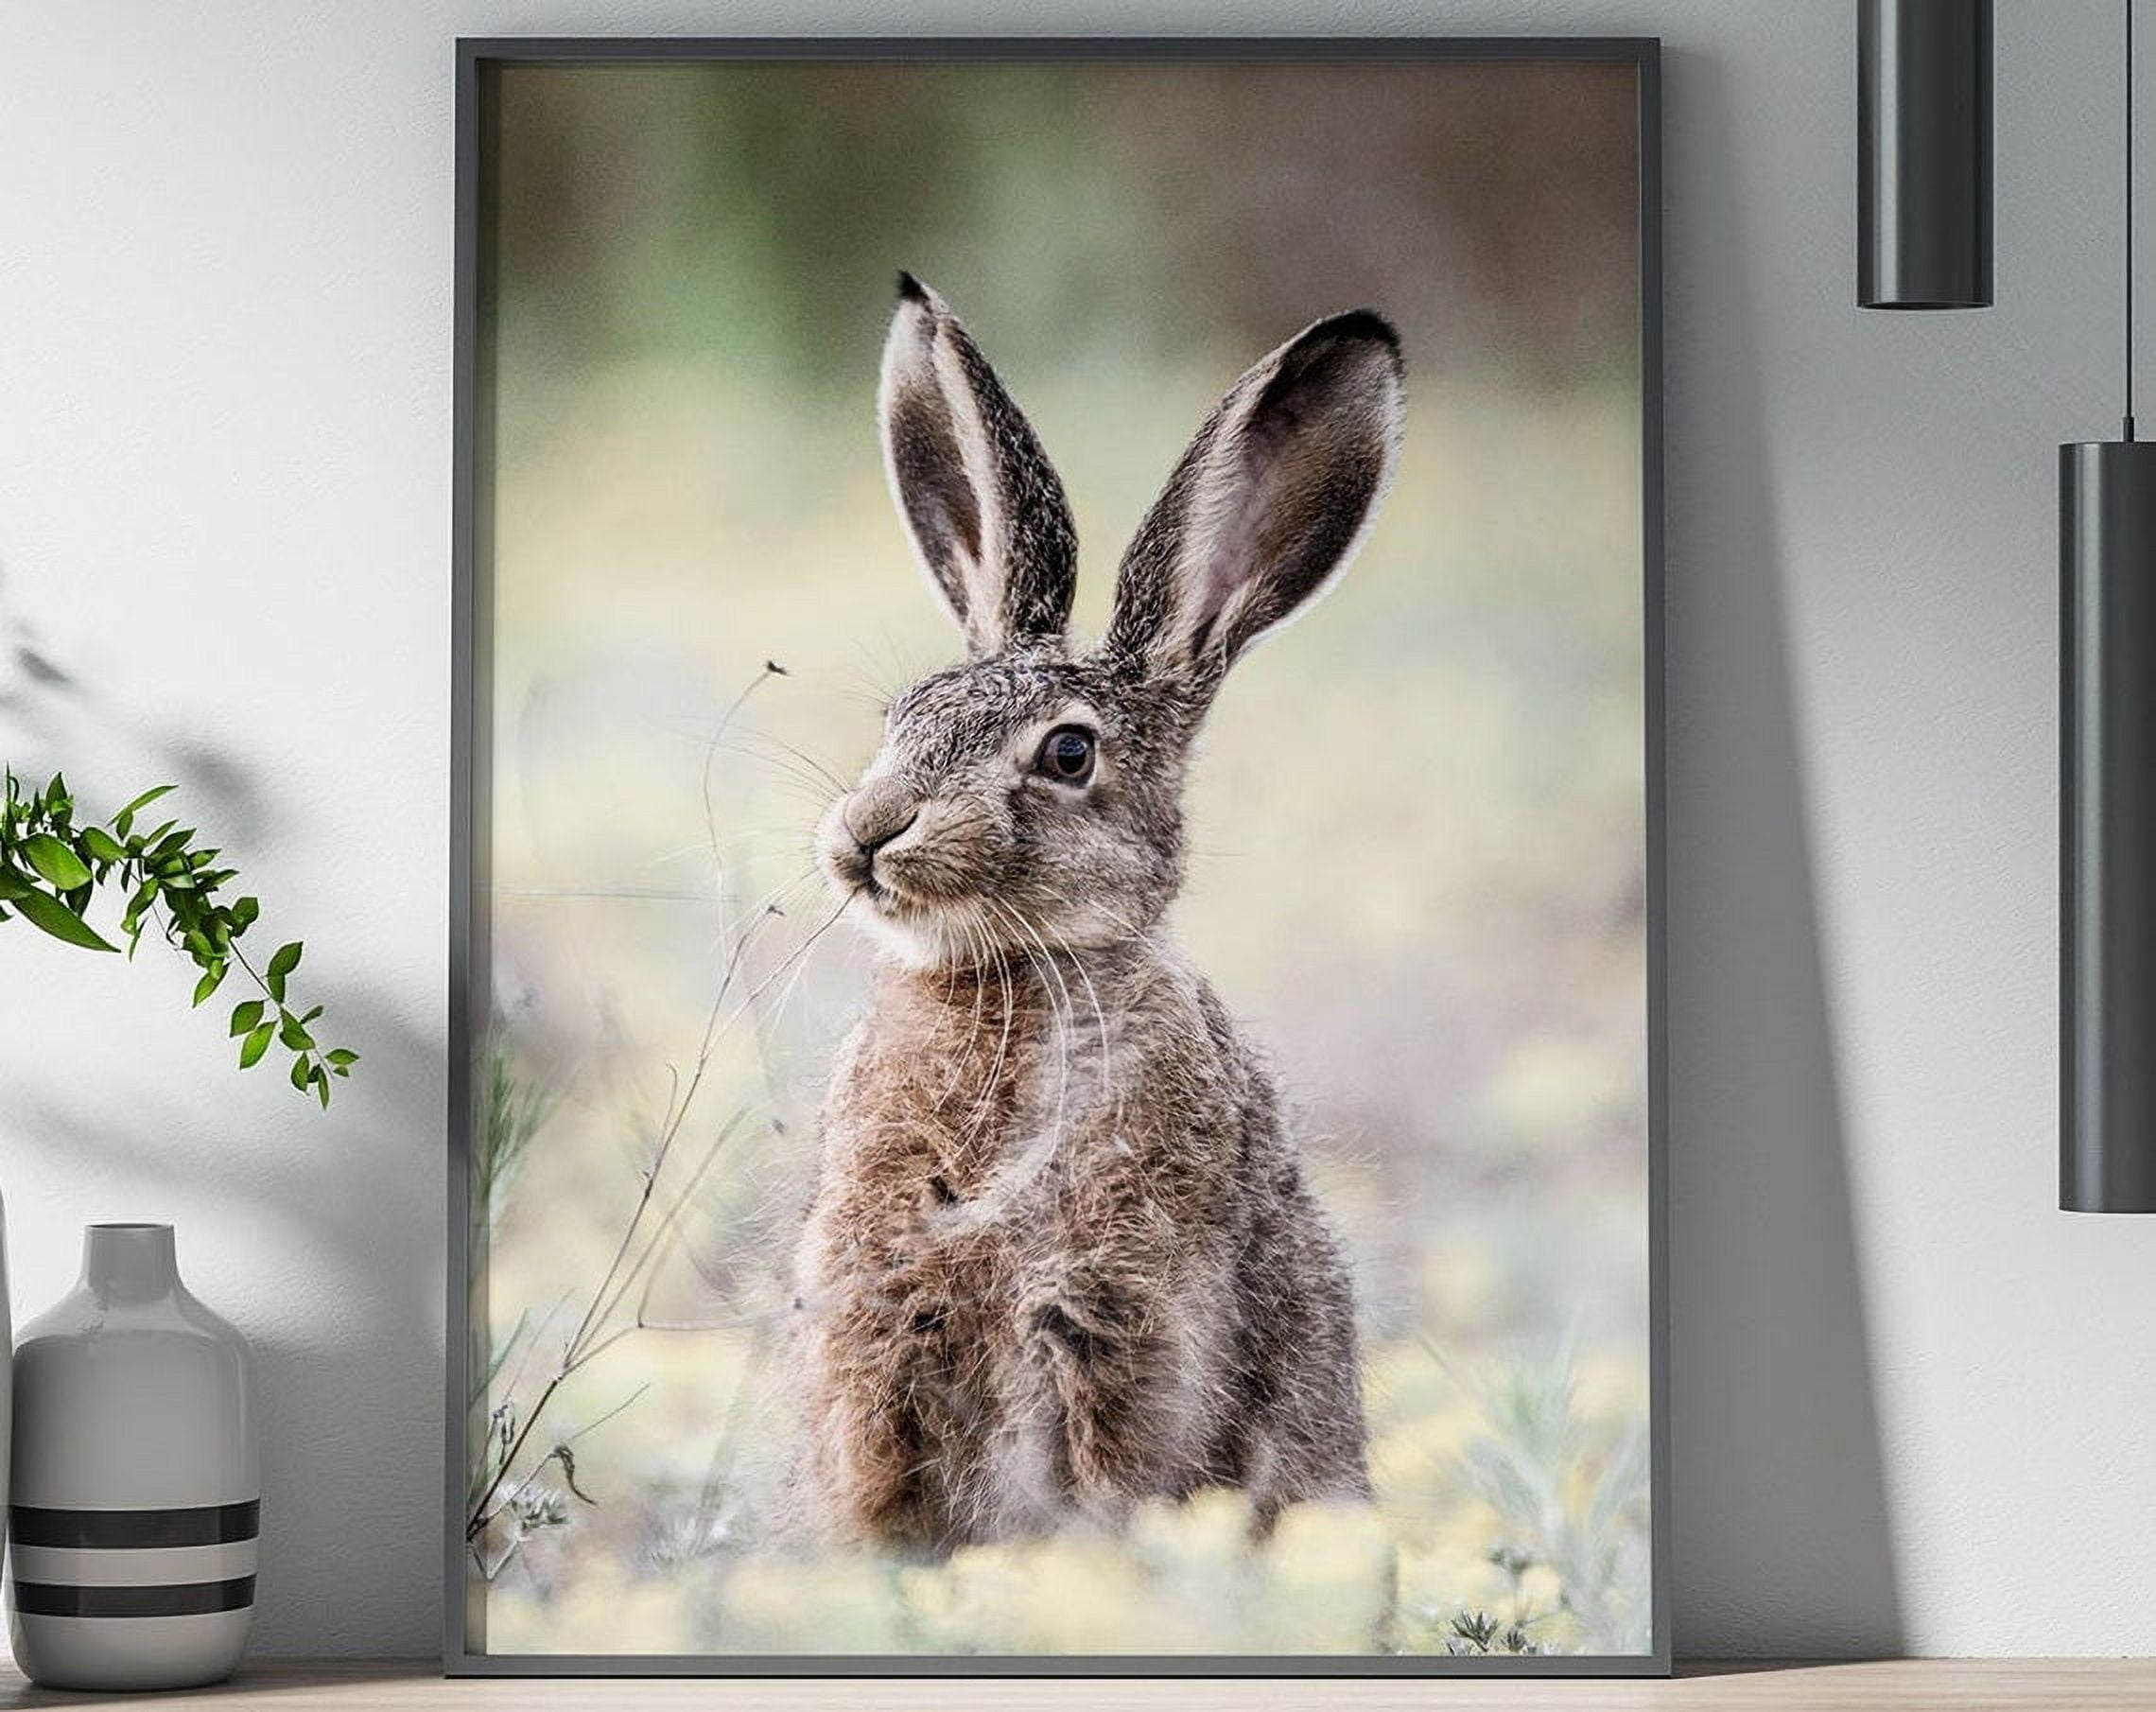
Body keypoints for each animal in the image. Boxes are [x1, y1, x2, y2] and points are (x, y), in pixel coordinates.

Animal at [792, 273, 1404, 1554]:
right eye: (903, 715)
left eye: (1069, 754)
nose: (865, 836)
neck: (1014, 975)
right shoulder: (873, 1332)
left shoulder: (1119, 1320)